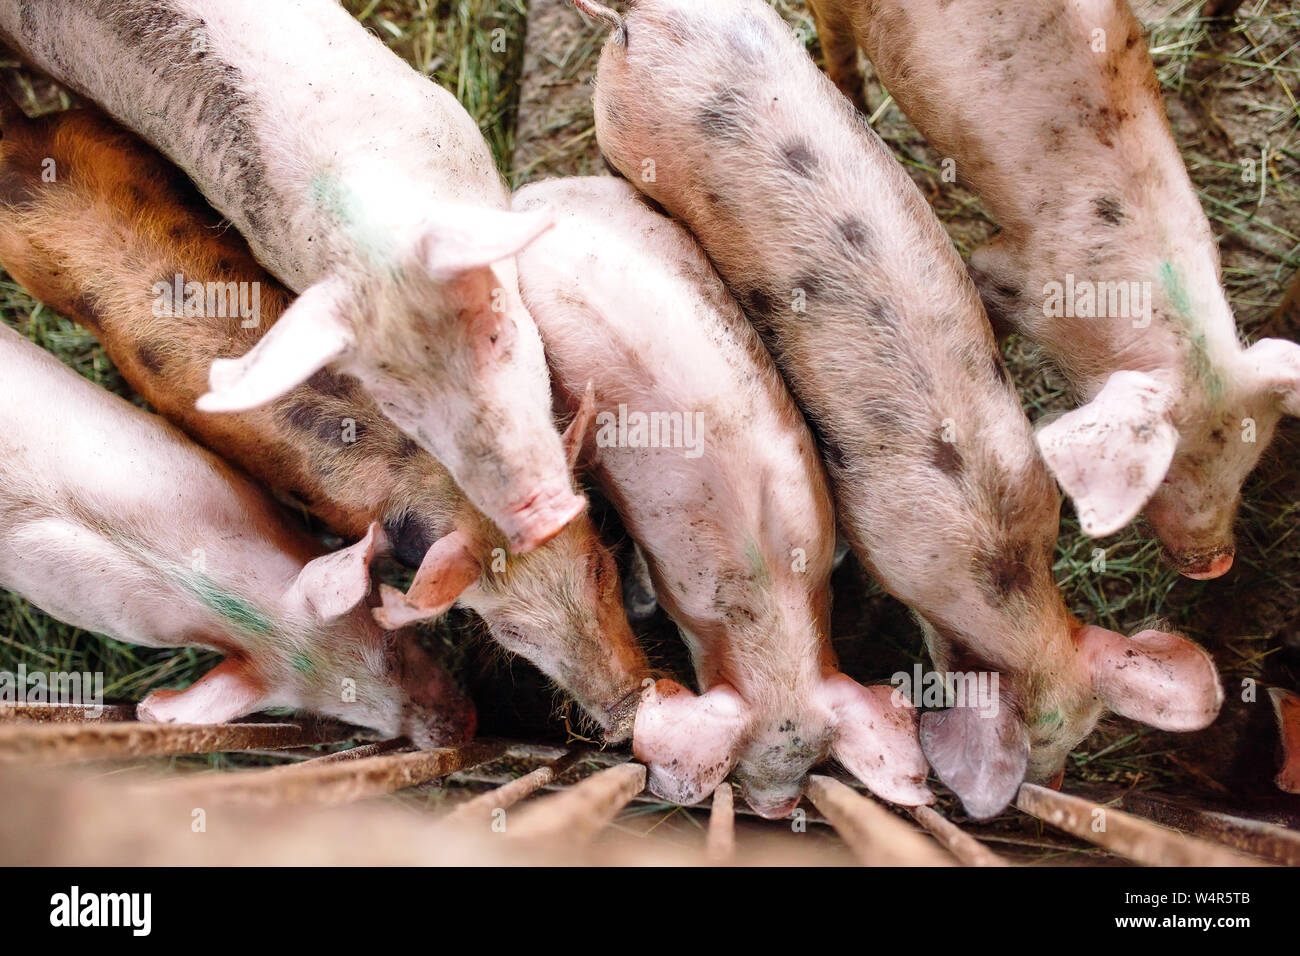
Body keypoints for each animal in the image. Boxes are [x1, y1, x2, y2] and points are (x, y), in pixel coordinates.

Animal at [513, 175, 931, 817]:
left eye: (817, 760)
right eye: (737, 767)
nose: (775, 810)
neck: (768, 591)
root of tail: (526, 197)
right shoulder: (672, 578)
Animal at [578, 0, 1224, 817]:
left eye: (1082, 735)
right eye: (1040, 747)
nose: (1051, 789)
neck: (997, 566)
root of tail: (644, 16)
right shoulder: (879, 536)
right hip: (620, 129)